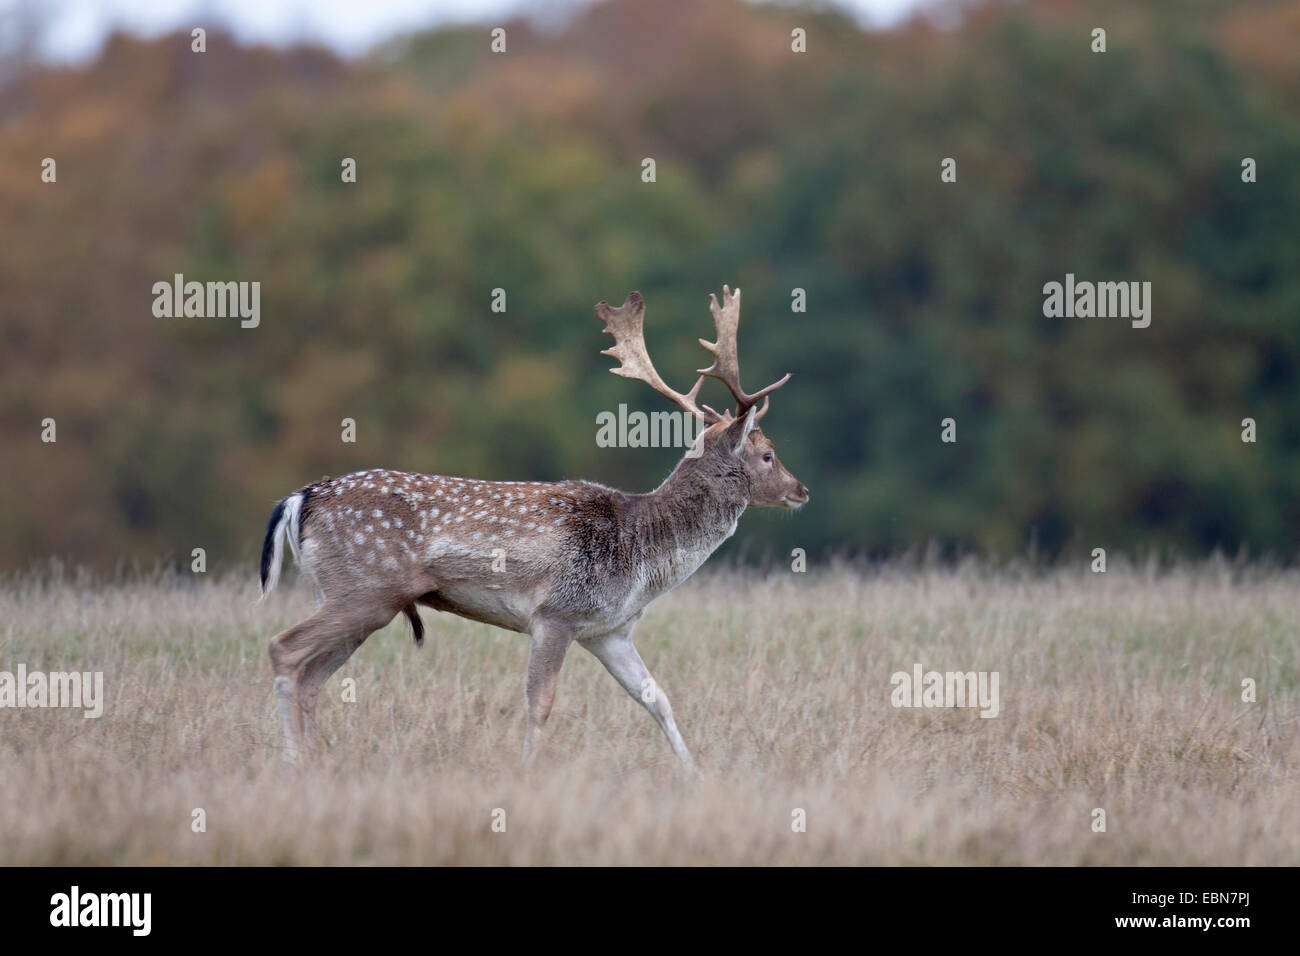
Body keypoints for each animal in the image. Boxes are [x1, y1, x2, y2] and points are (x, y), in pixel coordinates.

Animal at [259, 285, 808, 770]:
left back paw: (313, 760)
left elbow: (657, 698)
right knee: (283, 650)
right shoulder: (556, 613)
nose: (801, 490)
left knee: (312, 676)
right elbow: (540, 703)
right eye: (768, 454)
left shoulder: (608, 630)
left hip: (356, 598)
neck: (642, 553)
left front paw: (695, 774)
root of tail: (301, 499)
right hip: (364, 588)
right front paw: (527, 769)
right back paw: (291, 762)